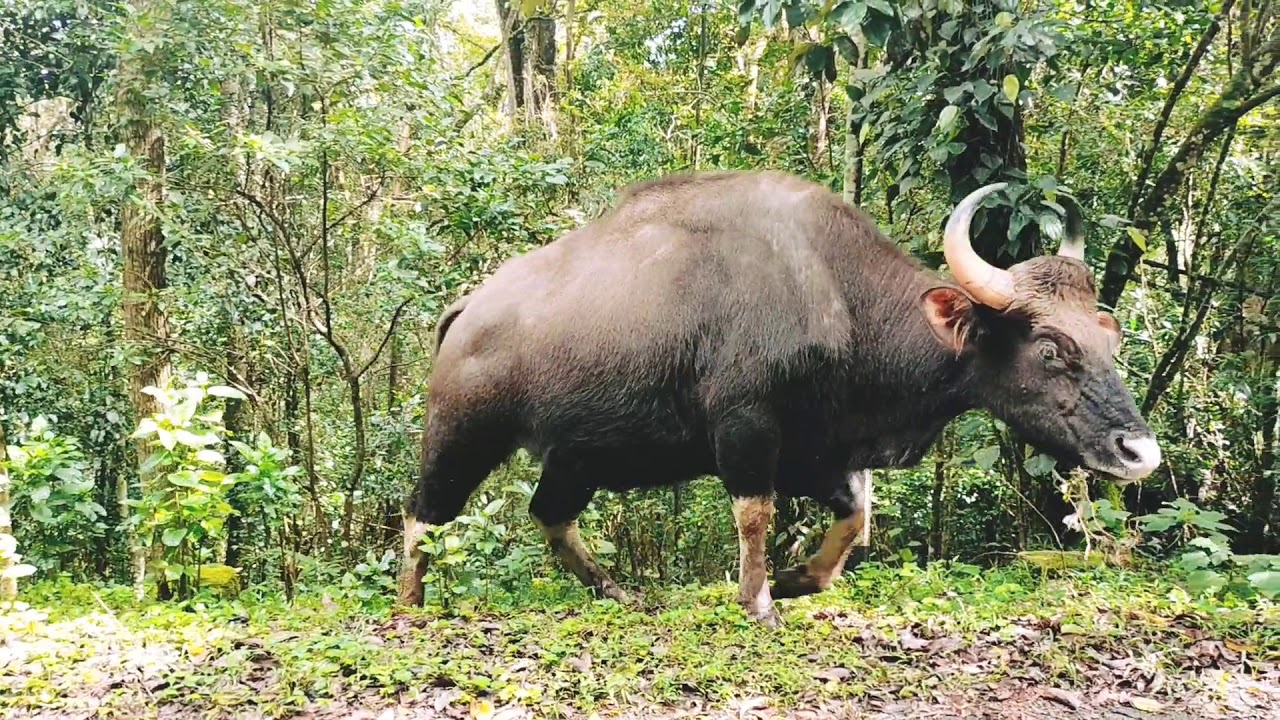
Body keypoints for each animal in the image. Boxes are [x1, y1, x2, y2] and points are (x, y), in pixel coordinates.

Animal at [398, 170, 1160, 625]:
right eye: (1050, 349)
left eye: (1108, 334)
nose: (1139, 451)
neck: (840, 297)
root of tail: (468, 309)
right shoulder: (747, 430)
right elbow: (755, 513)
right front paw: (758, 598)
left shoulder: (819, 447)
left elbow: (856, 520)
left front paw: (798, 579)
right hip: (462, 433)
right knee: (423, 513)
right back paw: (411, 607)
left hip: (577, 454)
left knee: (550, 515)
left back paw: (615, 590)